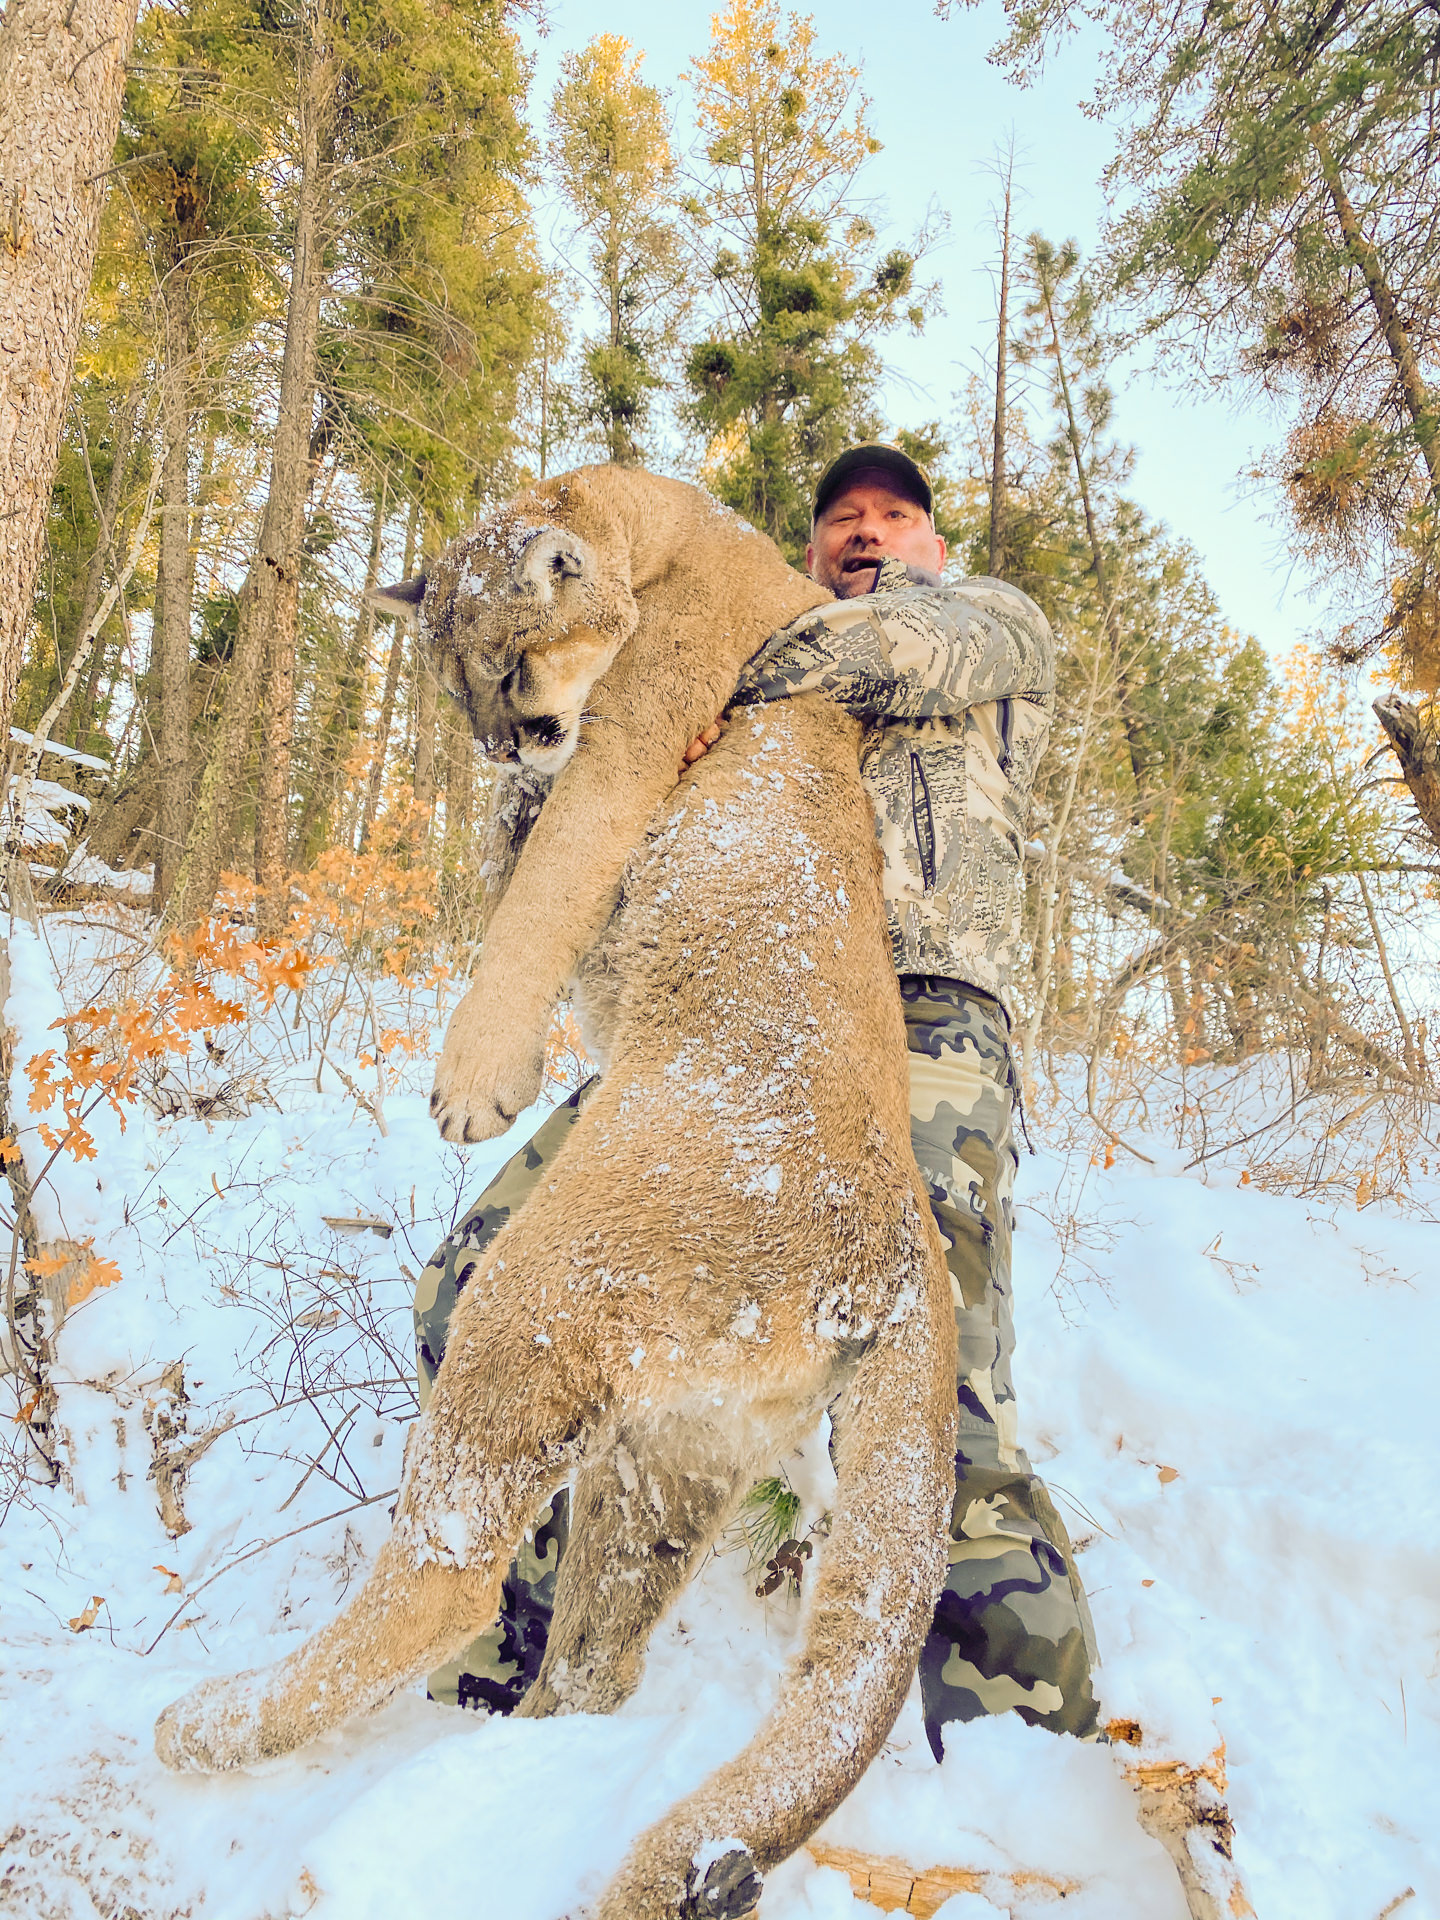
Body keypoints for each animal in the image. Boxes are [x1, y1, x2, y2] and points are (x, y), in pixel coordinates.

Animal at [154, 467, 958, 1920]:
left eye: (516, 665)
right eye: (458, 680)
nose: (504, 744)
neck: (653, 519)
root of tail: (902, 1259)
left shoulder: (629, 747)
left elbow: (535, 900)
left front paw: (475, 1083)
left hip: (545, 1292)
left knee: (451, 1566)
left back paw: (214, 1723)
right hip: (669, 1458)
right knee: (593, 1660)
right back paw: (502, 1775)